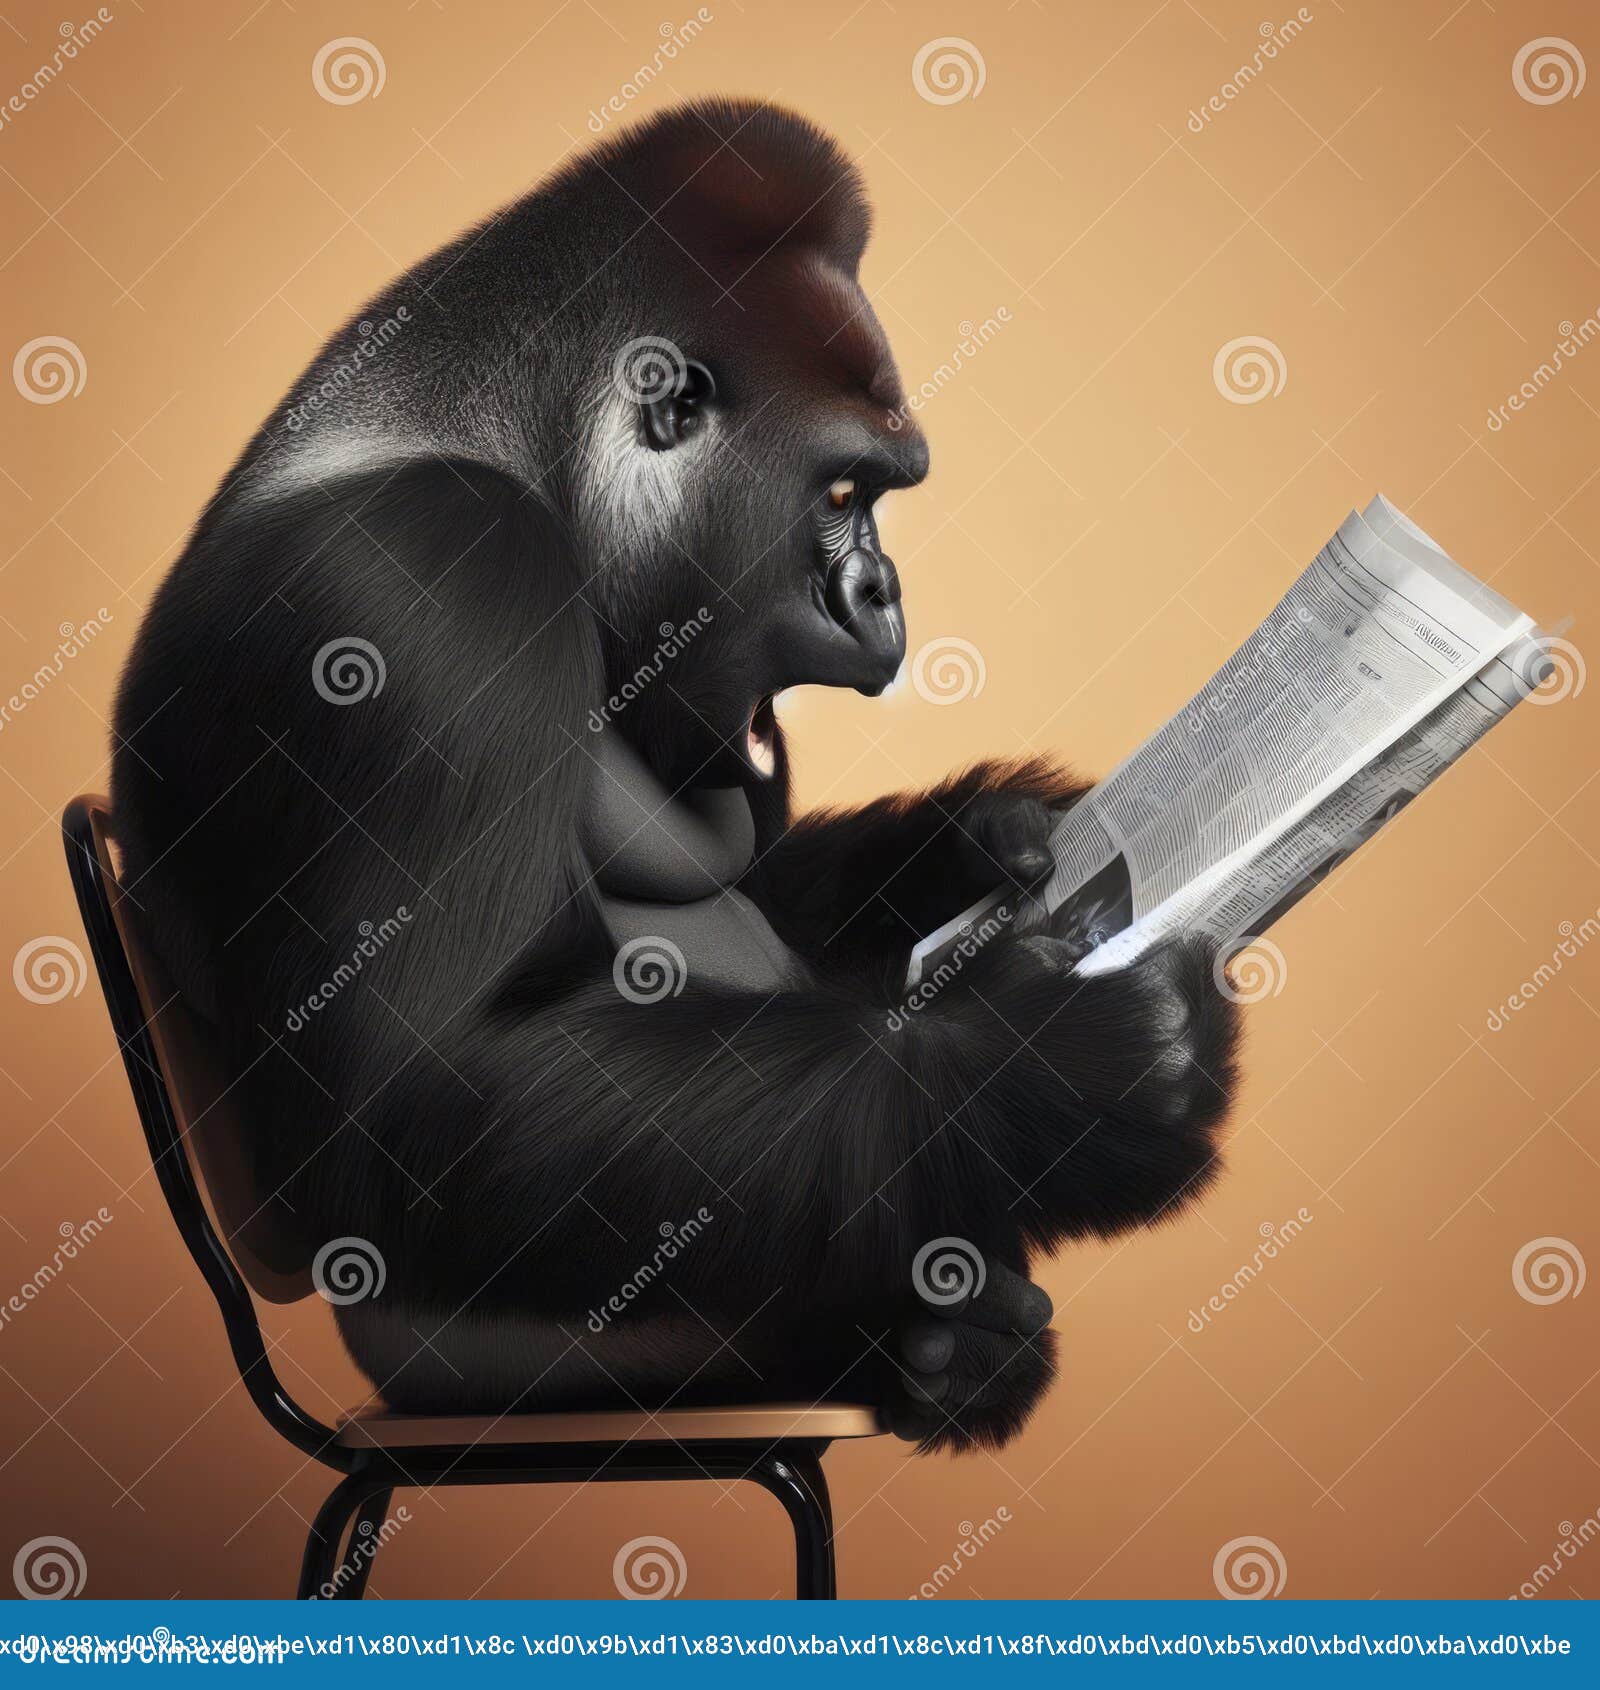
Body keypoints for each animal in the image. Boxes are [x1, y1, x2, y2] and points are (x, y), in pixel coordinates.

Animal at [109, 98, 1239, 1452]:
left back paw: (944, 1353)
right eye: (844, 490)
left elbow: (782, 879)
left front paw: (988, 836)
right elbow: (415, 1103)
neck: (502, 442)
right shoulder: (413, 594)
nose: (882, 594)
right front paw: (1054, 1077)